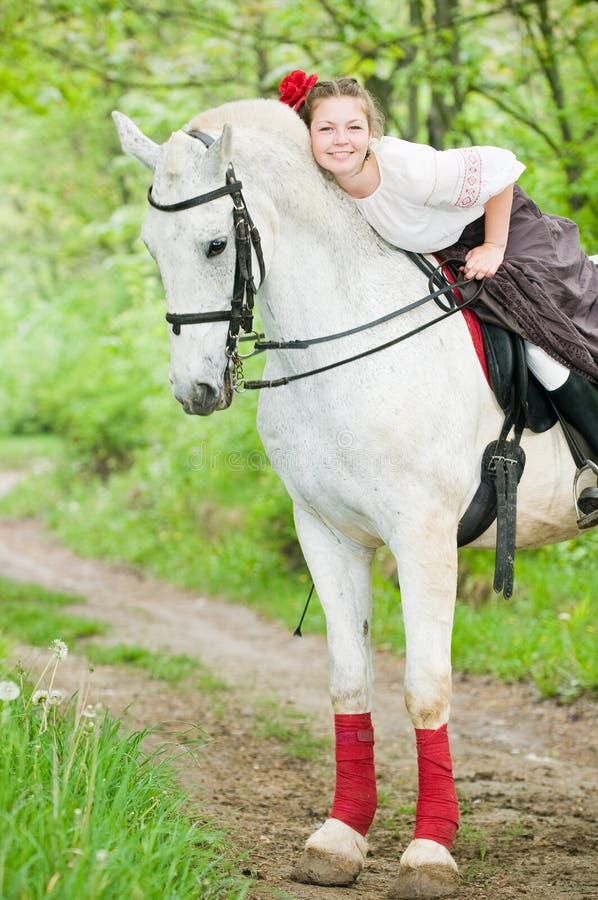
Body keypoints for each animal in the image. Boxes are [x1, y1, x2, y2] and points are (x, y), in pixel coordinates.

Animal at [113, 99, 594, 899]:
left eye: (215, 244)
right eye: (153, 249)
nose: (196, 390)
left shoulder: (423, 538)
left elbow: (425, 687)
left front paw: (429, 851)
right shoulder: (327, 533)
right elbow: (348, 683)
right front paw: (341, 838)